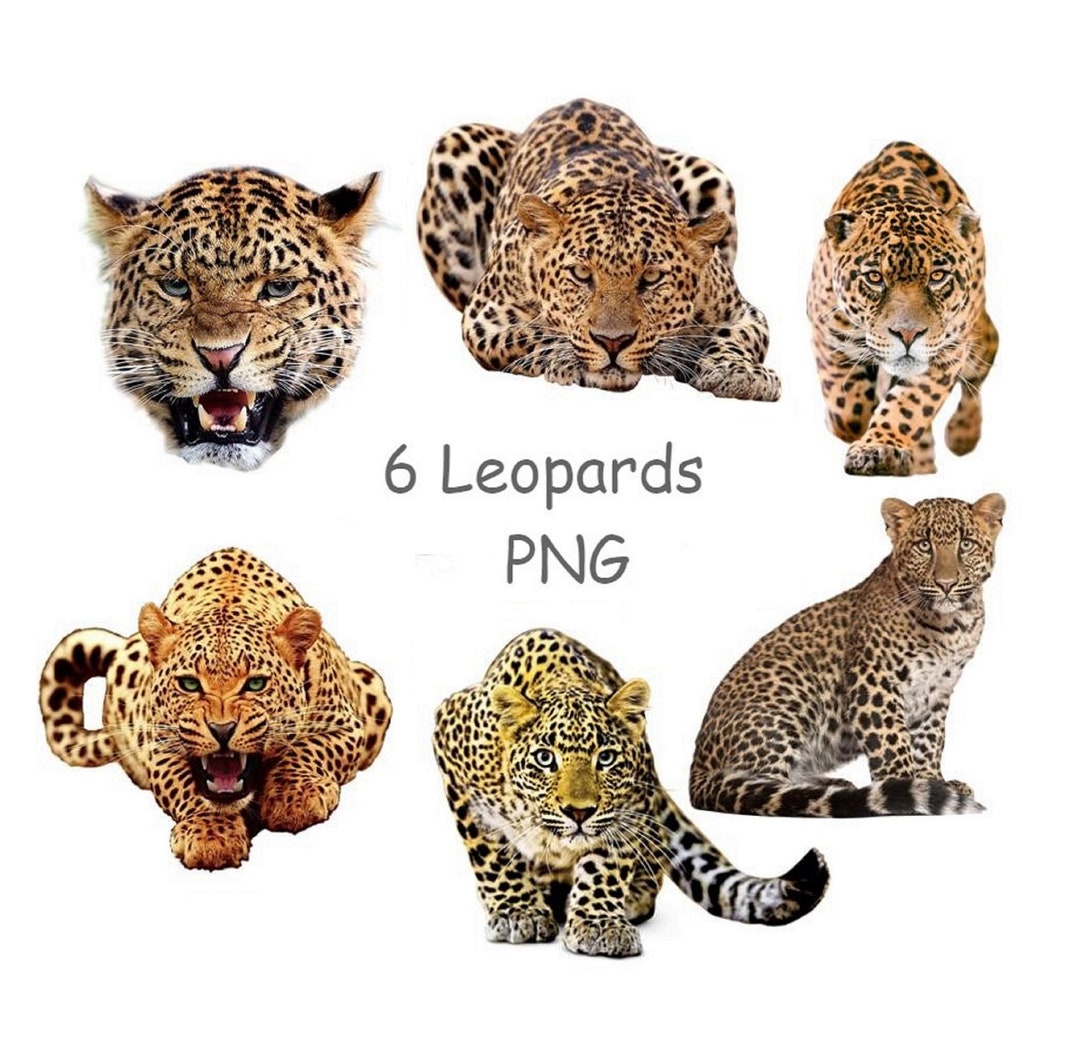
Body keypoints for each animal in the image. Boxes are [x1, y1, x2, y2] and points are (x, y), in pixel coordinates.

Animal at [39, 547, 392, 869]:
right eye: (189, 684)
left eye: (256, 684)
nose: (222, 729)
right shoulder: (159, 743)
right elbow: (186, 785)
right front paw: (211, 834)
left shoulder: (344, 722)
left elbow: (310, 748)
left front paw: (294, 797)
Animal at [418, 98, 779, 400]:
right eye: (580, 274)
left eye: (651, 278)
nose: (613, 342)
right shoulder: (483, 317)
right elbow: (527, 335)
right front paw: (565, 358)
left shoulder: (741, 313)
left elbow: (739, 339)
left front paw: (741, 373)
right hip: (455, 145)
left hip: (710, 173)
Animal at [434, 629, 828, 958]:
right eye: (545, 758)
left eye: (606, 758)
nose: (579, 813)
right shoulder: (448, 738)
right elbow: (491, 853)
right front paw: (518, 912)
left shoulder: (631, 803)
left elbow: (604, 865)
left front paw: (598, 924)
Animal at [690, 494, 1005, 817]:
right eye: (923, 545)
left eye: (965, 544)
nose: (946, 584)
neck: (953, 625)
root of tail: (697, 767)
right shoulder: (874, 681)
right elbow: (892, 740)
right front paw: (907, 786)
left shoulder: (937, 690)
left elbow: (930, 740)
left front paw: (933, 781)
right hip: (791, 690)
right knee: (762, 787)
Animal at [807, 141, 997, 476]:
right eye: (874, 277)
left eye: (938, 276)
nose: (908, 335)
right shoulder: (827, 334)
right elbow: (848, 410)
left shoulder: (947, 353)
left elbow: (909, 406)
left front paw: (879, 447)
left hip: (979, 338)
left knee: (978, 375)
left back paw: (962, 435)